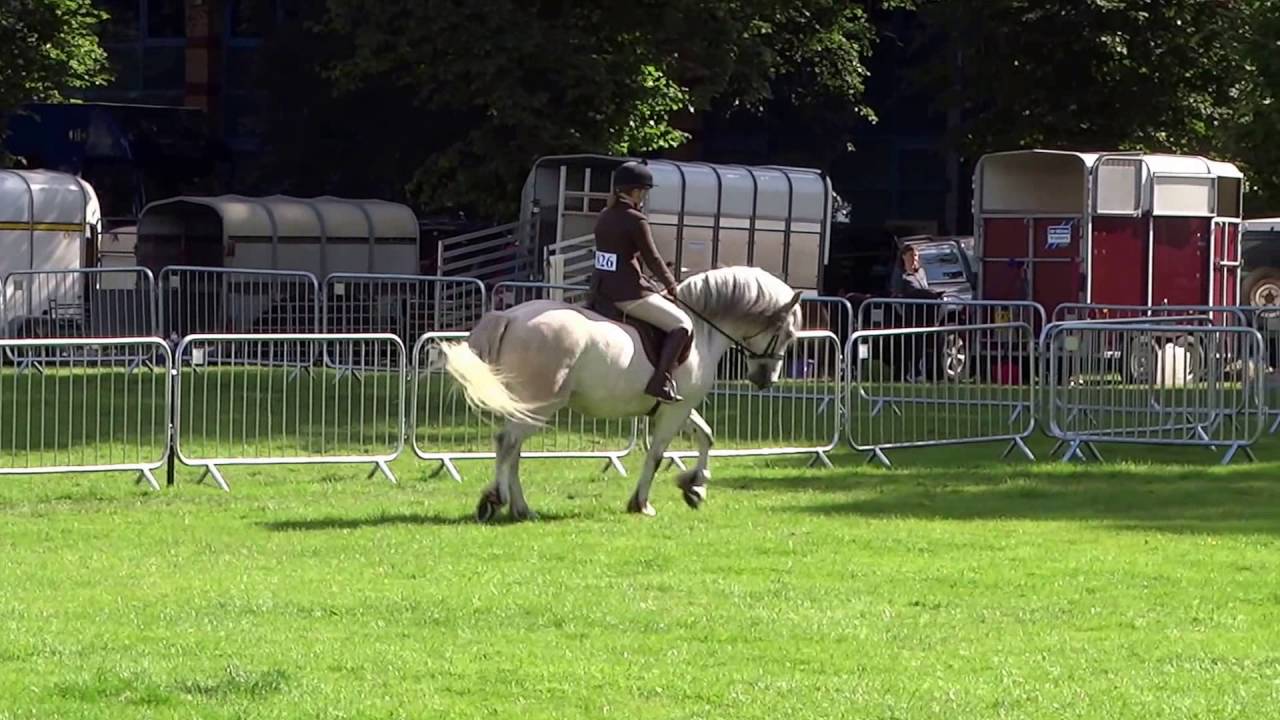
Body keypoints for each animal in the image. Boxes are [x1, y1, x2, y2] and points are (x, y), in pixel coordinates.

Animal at [437, 266, 805, 521]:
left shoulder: (678, 405)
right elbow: (656, 455)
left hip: (527, 405)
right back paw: (495, 500)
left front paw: (695, 487)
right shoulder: (675, 409)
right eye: (786, 333)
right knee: (508, 443)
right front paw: (642, 503)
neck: (702, 330)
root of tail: (511, 316)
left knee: (513, 449)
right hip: (541, 403)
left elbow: (707, 436)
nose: (765, 380)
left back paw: (521, 509)